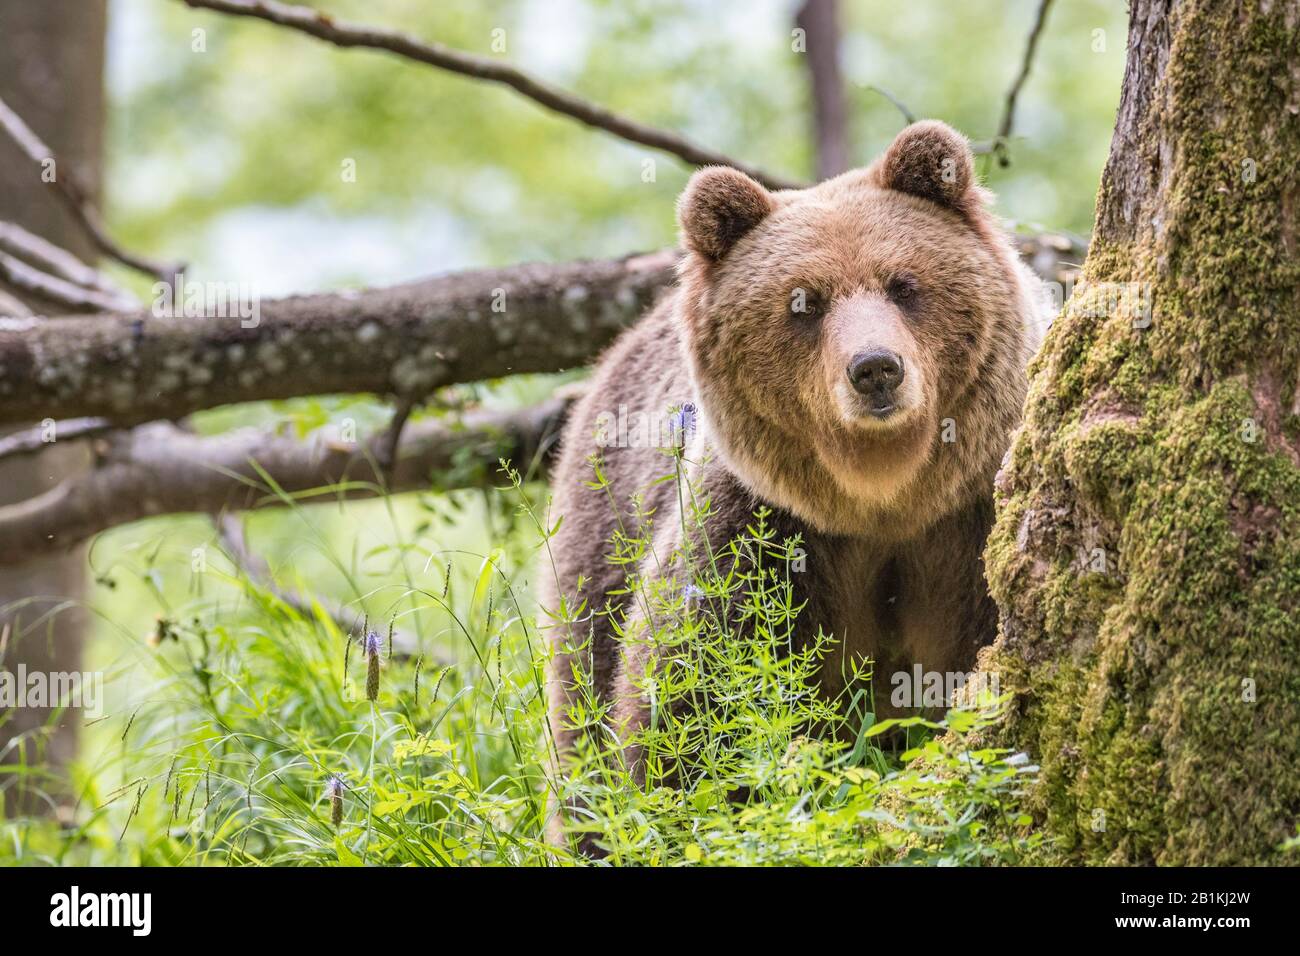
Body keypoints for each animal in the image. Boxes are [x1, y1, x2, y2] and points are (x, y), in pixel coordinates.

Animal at [538, 121, 1048, 848]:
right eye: (805, 301)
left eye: (902, 283)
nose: (875, 368)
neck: (886, 500)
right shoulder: (763, 534)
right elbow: (694, 695)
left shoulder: (972, 521)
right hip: (604, 522)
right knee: (584, 684)